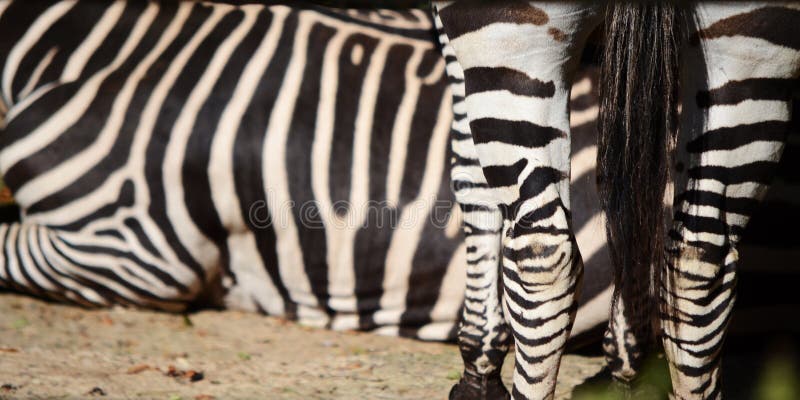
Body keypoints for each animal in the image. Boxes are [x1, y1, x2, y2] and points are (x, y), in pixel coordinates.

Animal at [432, 1, 799, 399]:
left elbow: (467, 172)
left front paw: (478, 371)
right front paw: (628, 362)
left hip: (508, 40)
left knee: (542, 254)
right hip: (753, 46)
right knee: (698, 260)